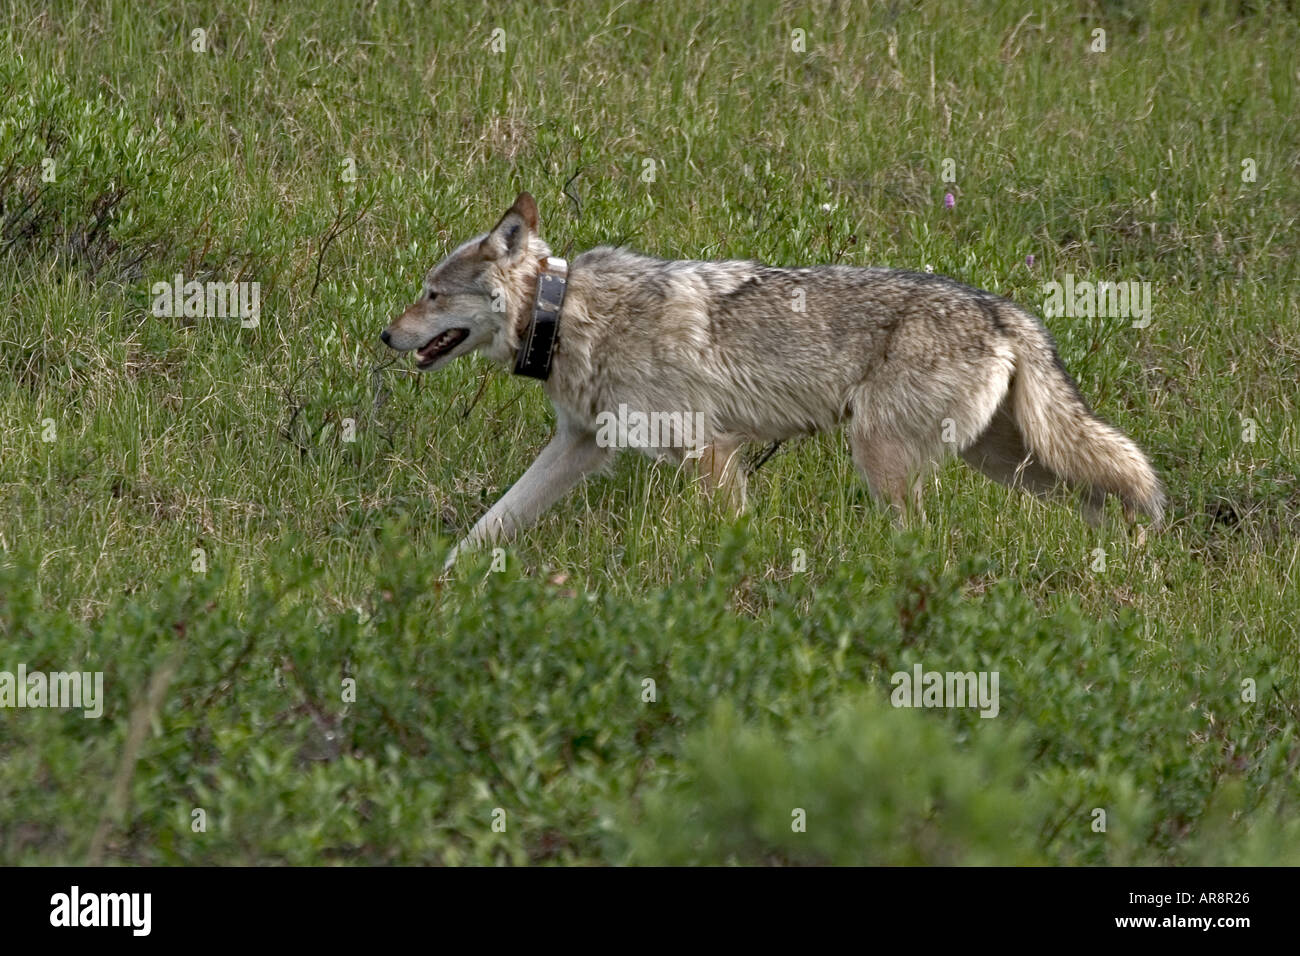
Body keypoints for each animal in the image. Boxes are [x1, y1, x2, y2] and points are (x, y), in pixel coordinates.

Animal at [381, 192, 1165, 565]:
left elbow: (730, 534)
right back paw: (1123, 566)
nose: (385, 335)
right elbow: (493, 521)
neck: (565, 312)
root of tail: (1006, 310)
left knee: (924, 538)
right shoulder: (581, 445)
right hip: (1011, 462)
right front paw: (441, 578)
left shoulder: (708, 451)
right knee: (1106, 496)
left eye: (430, 293)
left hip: (885, 458)